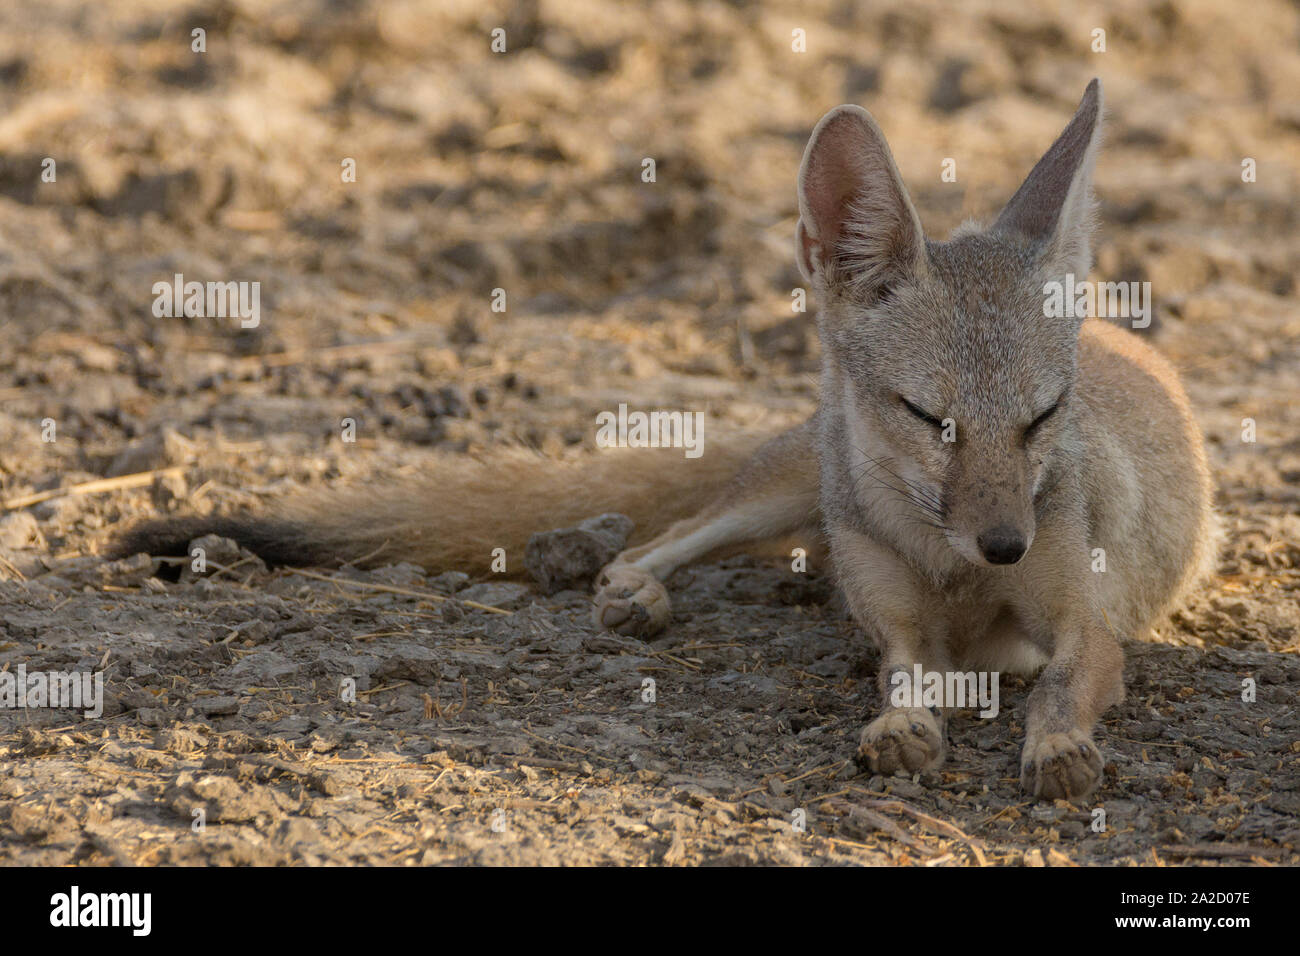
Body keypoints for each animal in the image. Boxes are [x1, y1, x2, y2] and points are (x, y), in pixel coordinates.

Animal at [112, 78, 1215, 801]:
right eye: (928, 418)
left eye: (1042, 417)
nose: (1005, 545)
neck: (956, 577)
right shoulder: (900, 624)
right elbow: (904, 674)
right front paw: (902, 727)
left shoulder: (1085, 623)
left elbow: (1062, 683)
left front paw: (1057, 746)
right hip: (782, 494)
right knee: (665, 534)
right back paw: (629, 590)